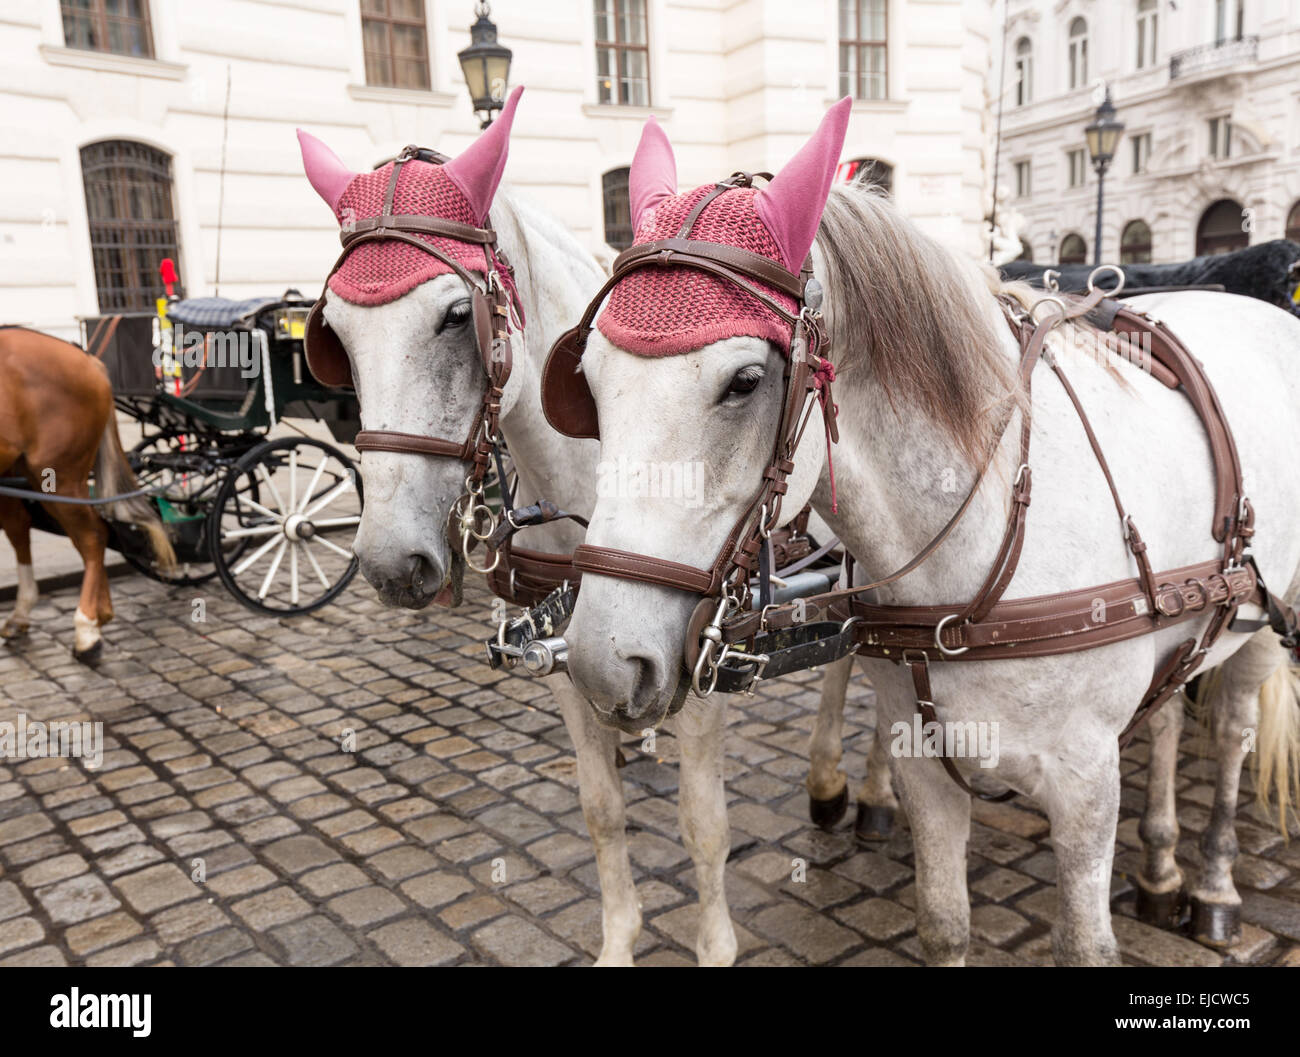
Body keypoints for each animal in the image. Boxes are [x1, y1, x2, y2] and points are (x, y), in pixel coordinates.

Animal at [297, 87, 752, 965]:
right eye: (334, 330)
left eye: (454, 317)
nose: (389, 561)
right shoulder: (571, 665)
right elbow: (601, 808)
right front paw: (619, 938)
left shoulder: (707, 660)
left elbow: (704, 822)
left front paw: (715, 942)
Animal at [556, 100, 1300, 965]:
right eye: (589, 379)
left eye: (744, 382)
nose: (602, 661)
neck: (977, 561)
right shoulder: (927, 769)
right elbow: (943, 923)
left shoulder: (1085, 783)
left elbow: (1083, 943)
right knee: (1177, 708)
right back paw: (1160, 862)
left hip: (1260, 624)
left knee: (1235, 731)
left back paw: (1211, 882)